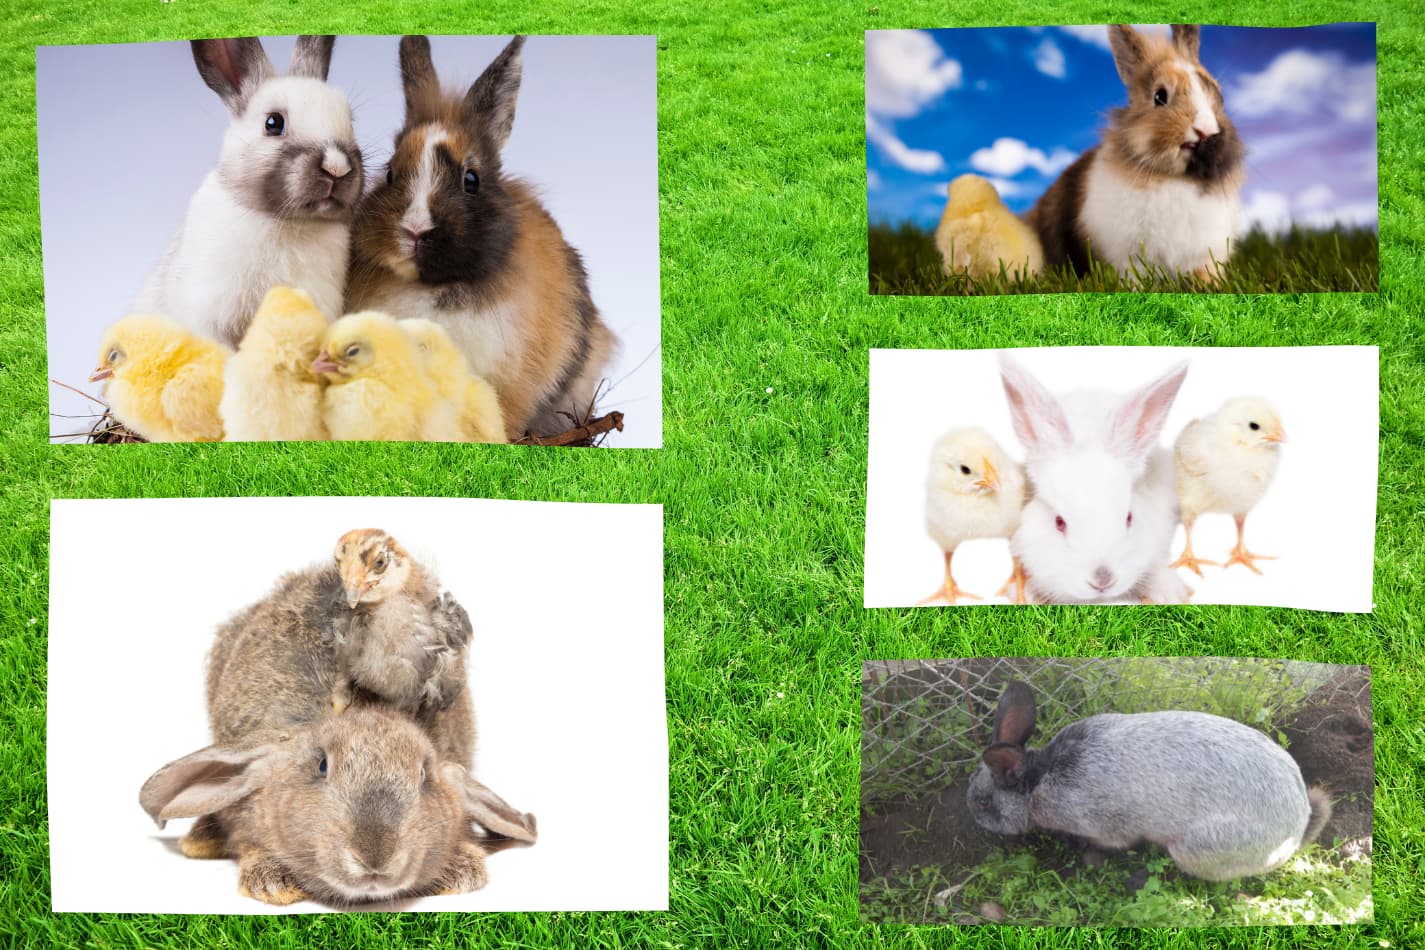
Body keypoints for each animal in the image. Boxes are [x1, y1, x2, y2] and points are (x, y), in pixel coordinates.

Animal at [967, 681, 1333, 881]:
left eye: (983, 802)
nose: (973, 818)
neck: (1039, 779)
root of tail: (1297, 826)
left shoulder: (1104, 826)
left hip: (1193, 848)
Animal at [1024, 25, 1244, 281]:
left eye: (1220, 96)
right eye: (1160, 96)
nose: (1206, 130)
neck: (1174, 178)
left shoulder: (1204, 256)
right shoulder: (1127, 258)